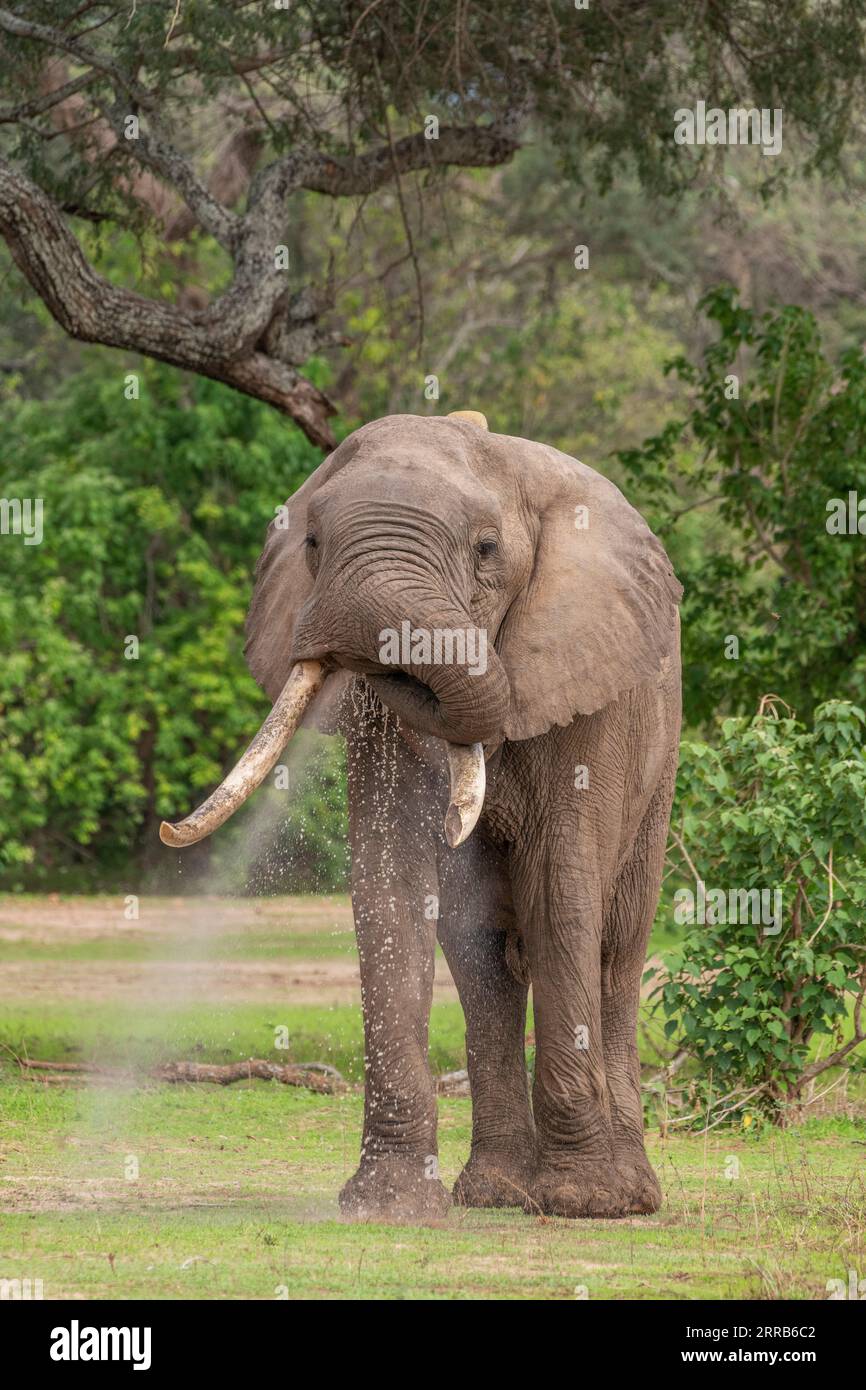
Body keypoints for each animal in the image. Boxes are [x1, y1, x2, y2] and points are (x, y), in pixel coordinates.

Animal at [161, 410, 682, 1223]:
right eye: (313, 544)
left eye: (486, 549)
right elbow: (392, 881)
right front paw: (387, 1206)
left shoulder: (586, 674)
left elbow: (561, 889)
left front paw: (585, 1201)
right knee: (483, 956)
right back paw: (495, 1194)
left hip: (659, 759)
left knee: (615, 948)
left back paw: (624, 1196)